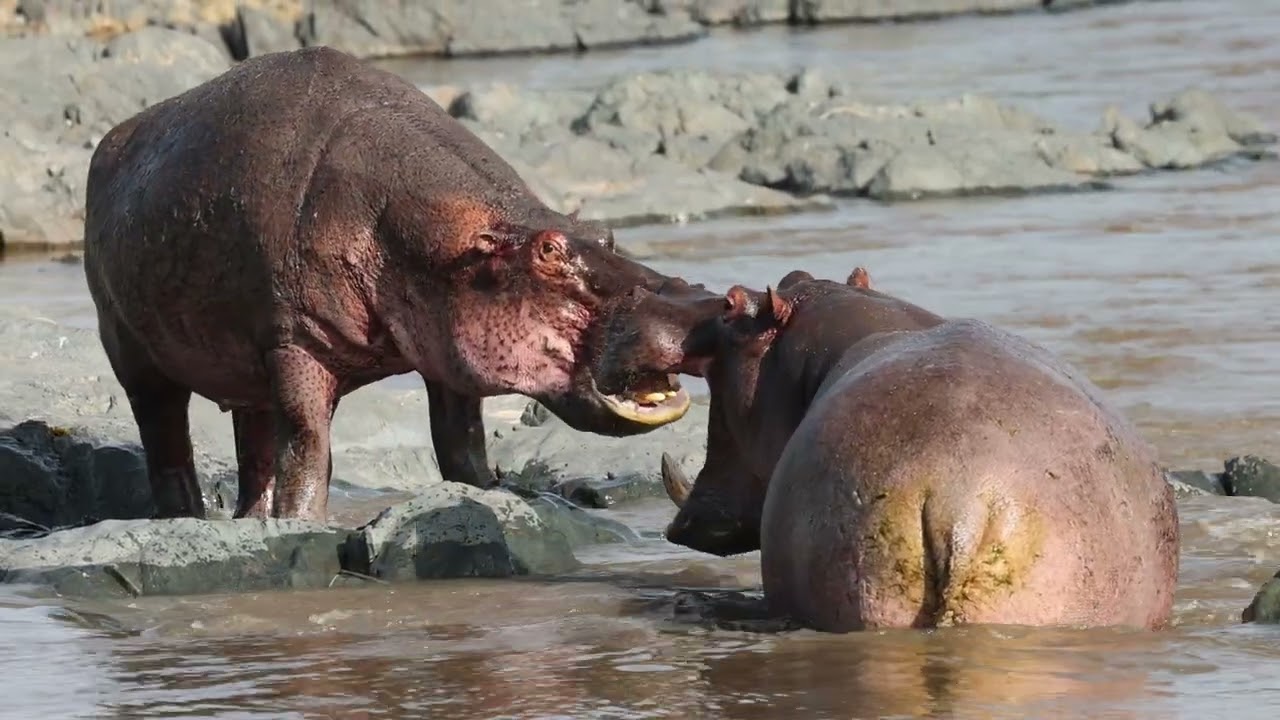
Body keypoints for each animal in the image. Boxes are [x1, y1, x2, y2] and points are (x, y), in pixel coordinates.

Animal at [83, 47, 699, 522]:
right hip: (132, 352)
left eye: (605, 233)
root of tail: (113, 139)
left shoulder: (448, 346)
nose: (693, 305)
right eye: (547, 251)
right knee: (166, 439)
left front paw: (490, 492)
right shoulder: (294, 343)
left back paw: (247, 521)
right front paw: (301, 523)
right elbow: (307, 448)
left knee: (253, 447)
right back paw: (184, 516)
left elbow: (461, 445)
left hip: (244, 366)